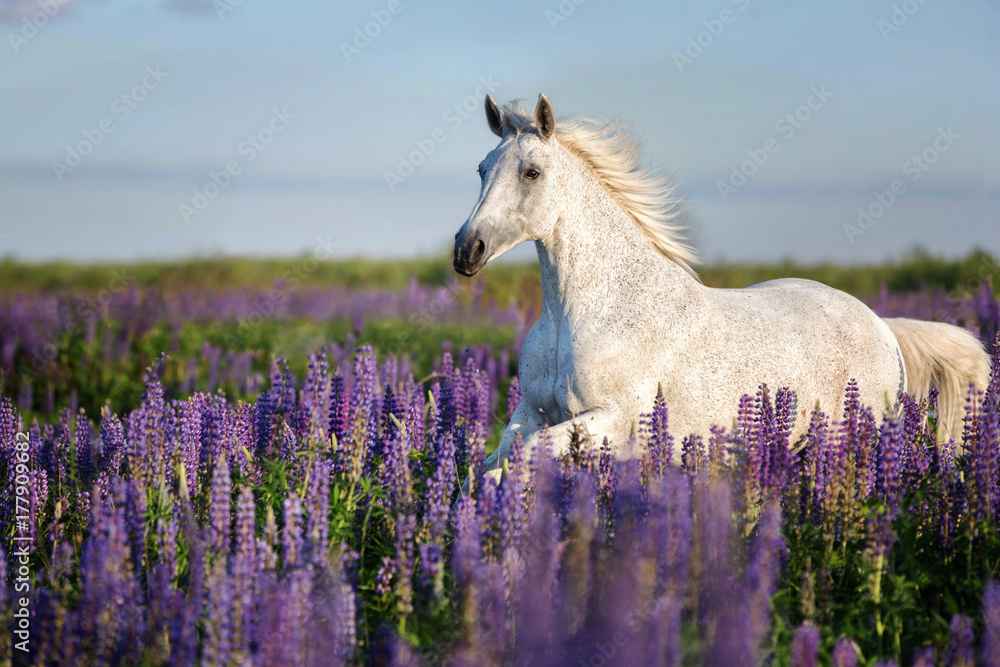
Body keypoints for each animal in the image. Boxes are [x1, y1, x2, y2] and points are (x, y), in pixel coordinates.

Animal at [452, 93, 991, 478]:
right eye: (481, 169)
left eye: (532, 172)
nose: (466, 250)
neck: (580, 312)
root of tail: (882, 326)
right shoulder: (532, 411)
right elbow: (492, 467)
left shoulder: (612, 420)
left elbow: (523, 460)